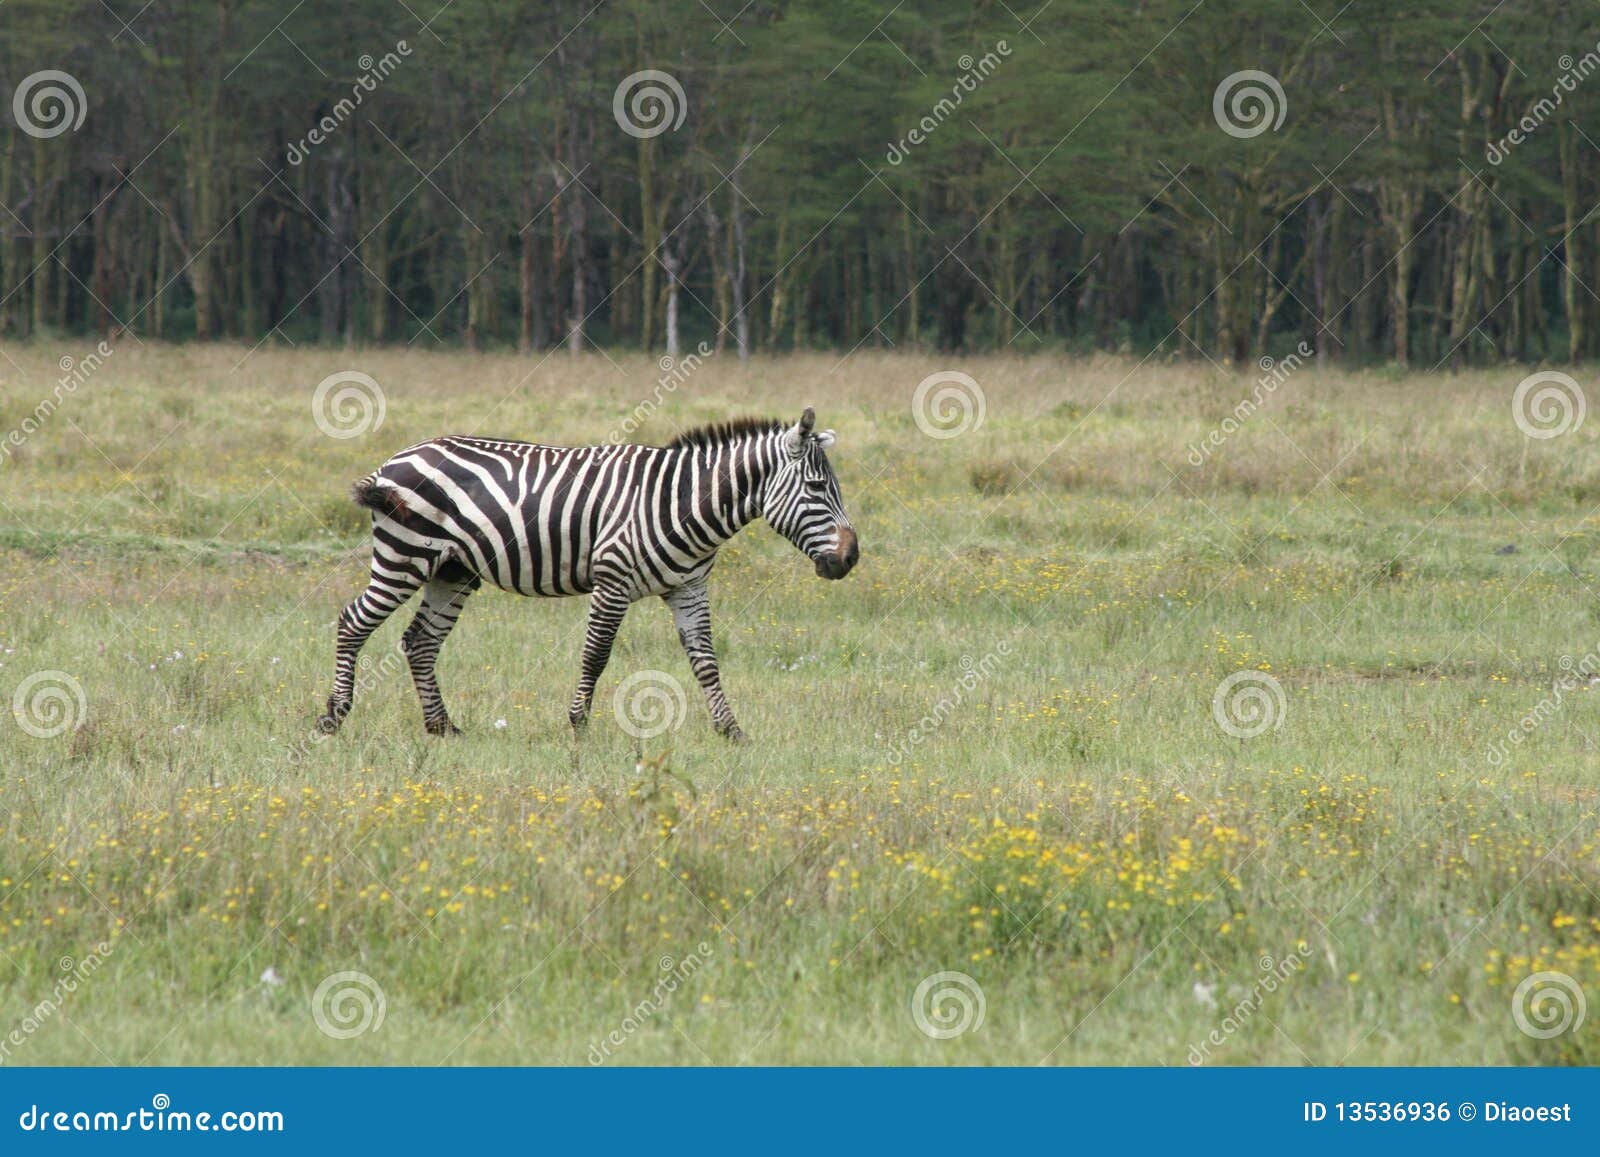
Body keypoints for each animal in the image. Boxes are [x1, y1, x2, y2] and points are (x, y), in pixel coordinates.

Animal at [318, 408, 859, 741]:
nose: (851, 559)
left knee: (421, 642)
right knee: (353, 622)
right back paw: (333, 717)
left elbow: (706, 662)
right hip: (405, 555)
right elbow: (596, 656)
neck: (682, 504)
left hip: (452, 571)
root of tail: (399, 456)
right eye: (817, 487)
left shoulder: (689, 587)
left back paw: (441, 727)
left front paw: (732, 731)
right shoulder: (612, 581)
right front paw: (579, 727)